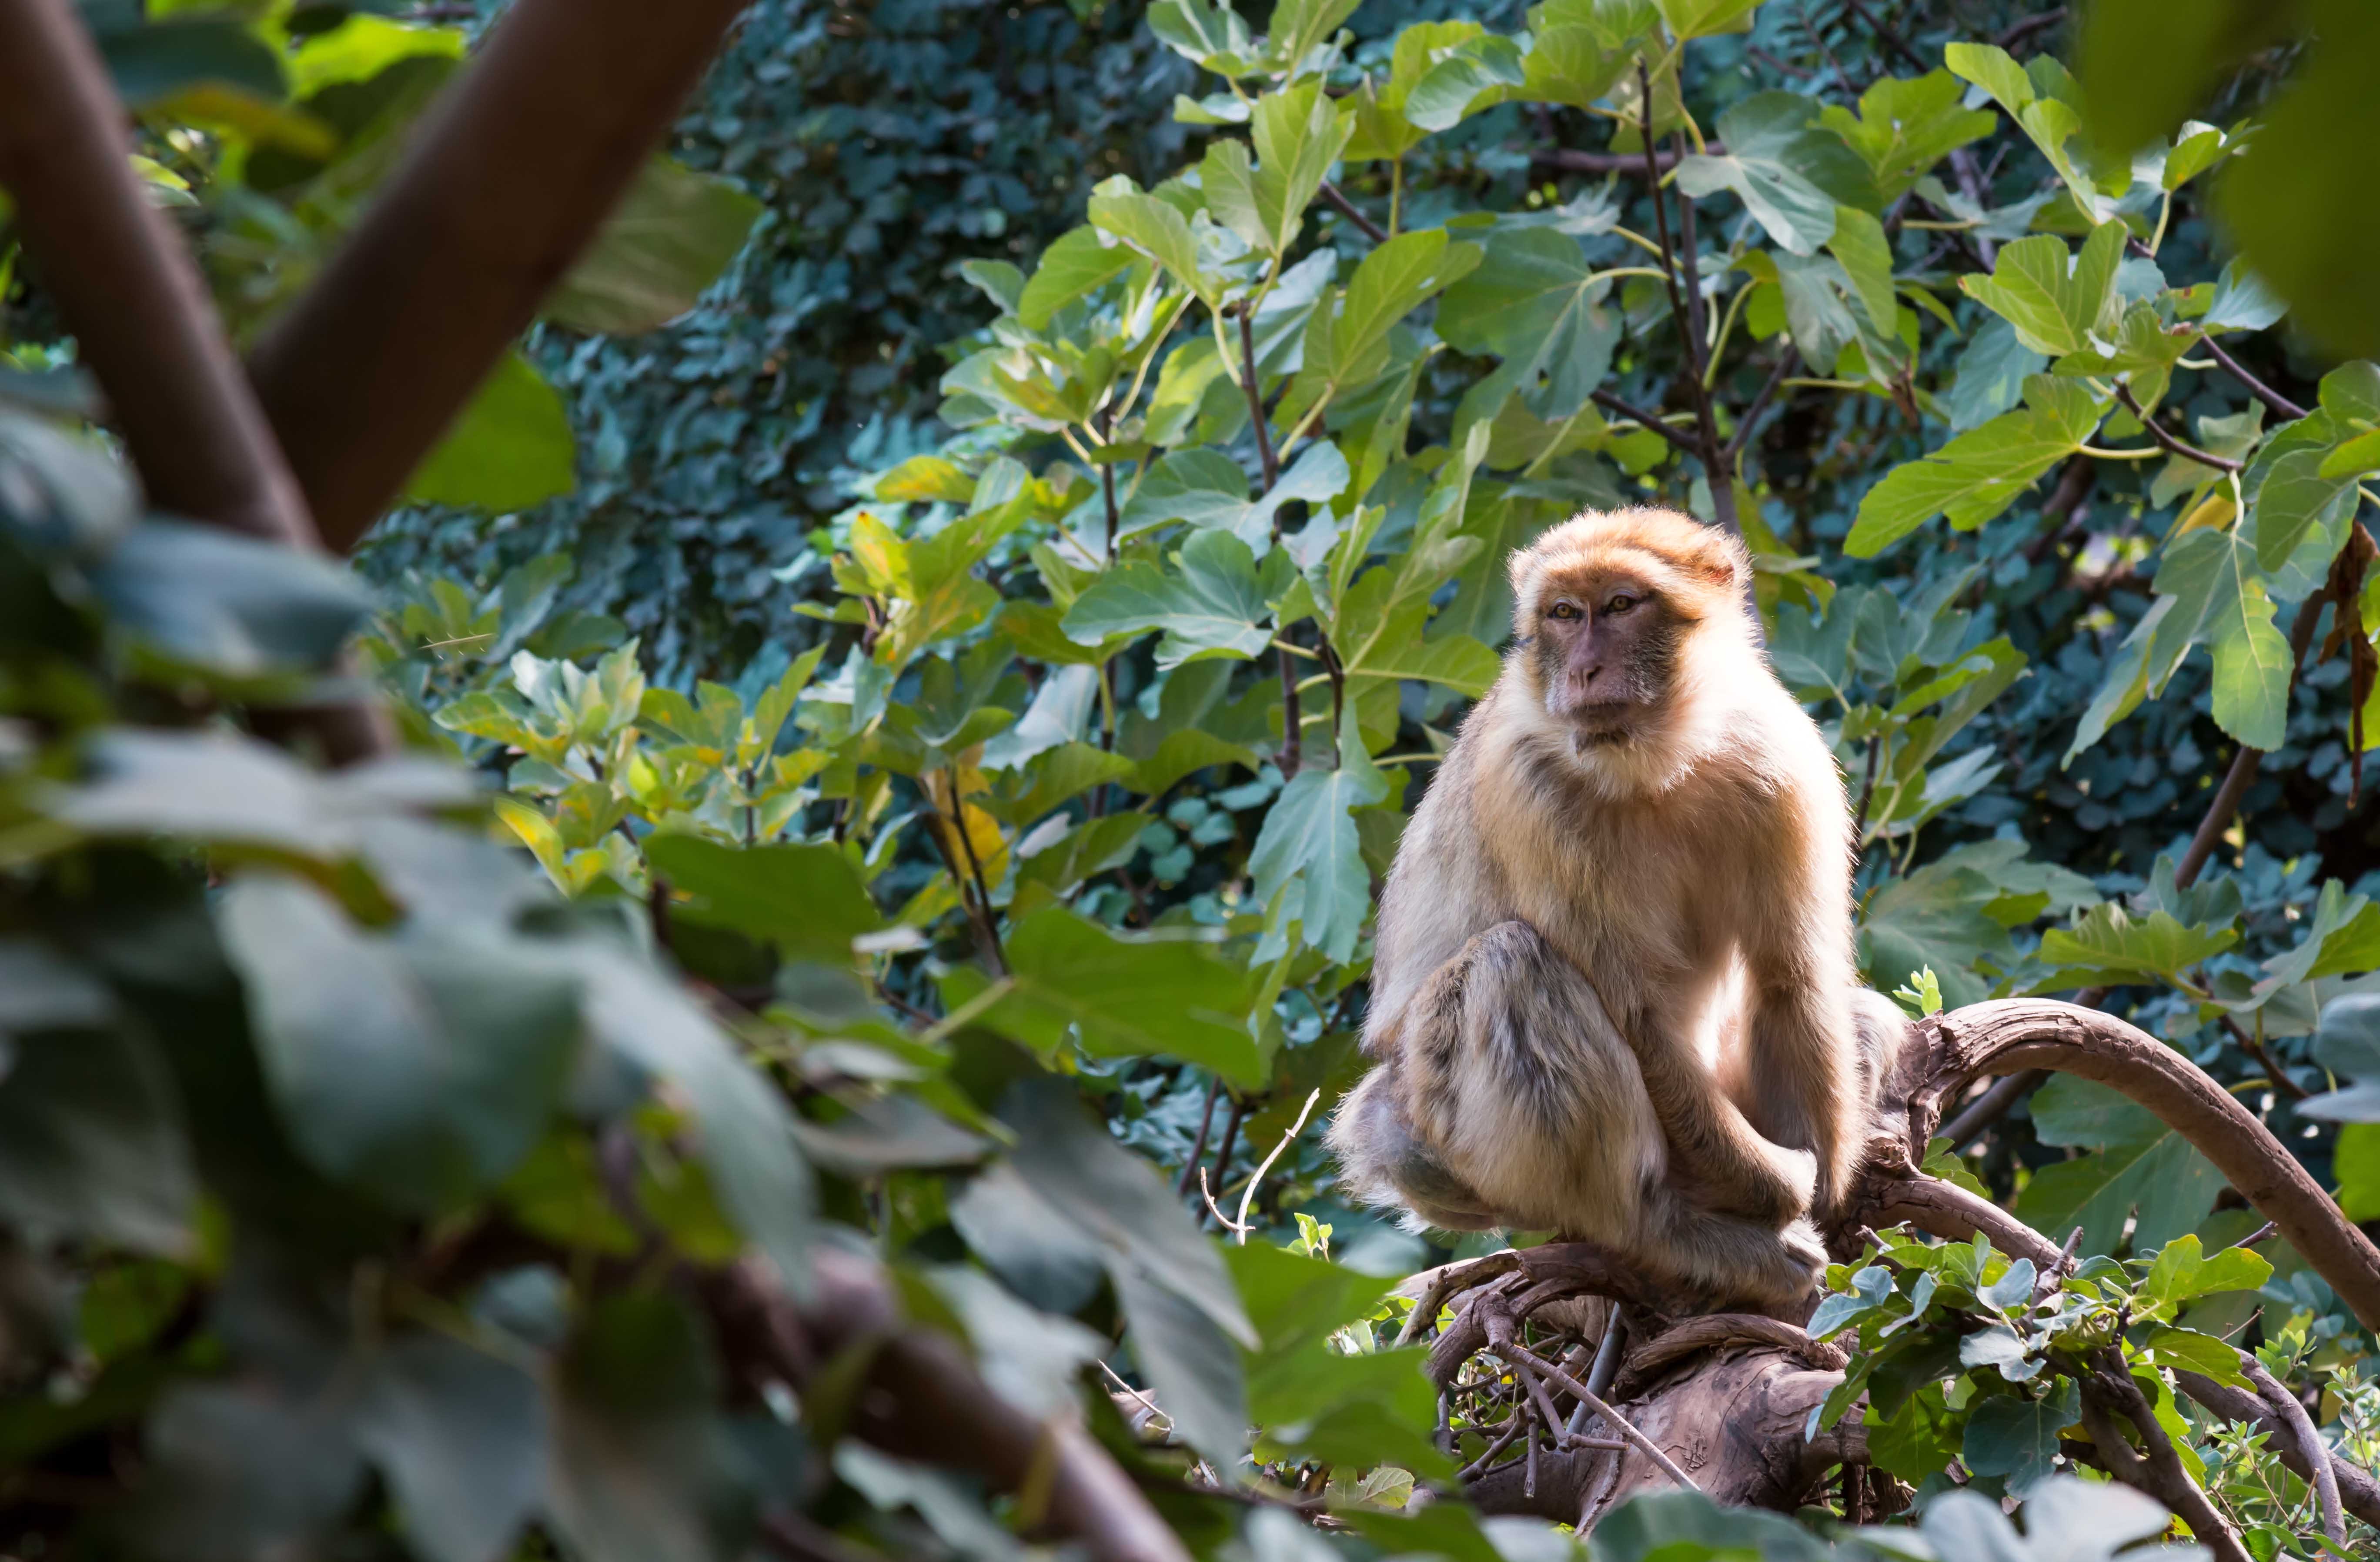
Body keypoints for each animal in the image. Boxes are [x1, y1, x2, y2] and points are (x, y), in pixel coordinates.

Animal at [1327, 507, 1904, 1308]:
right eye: (1565, 615)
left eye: (1621, 605)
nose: (1582, 670)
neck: (1656, 763)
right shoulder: (1529, 788)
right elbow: (1638, 1017)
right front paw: (1783, 1187)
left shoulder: (1780, 758)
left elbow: (1789, 978)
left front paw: (1826, 1198)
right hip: (1444, 1142)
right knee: (1513, 966)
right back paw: (1671, 1230)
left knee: (1861, 1016)